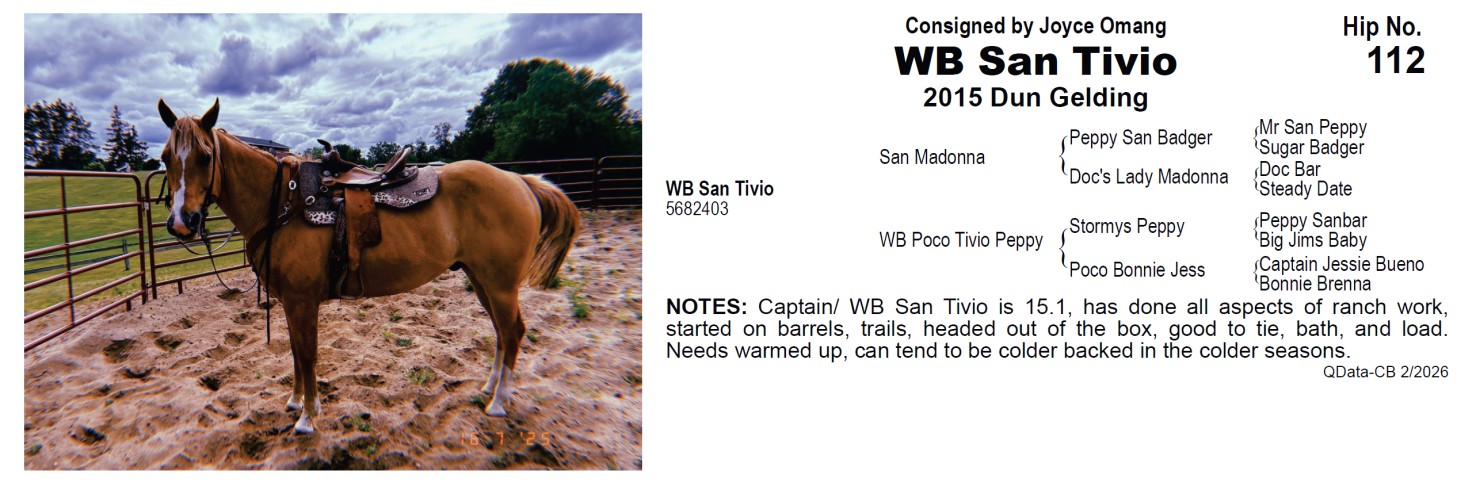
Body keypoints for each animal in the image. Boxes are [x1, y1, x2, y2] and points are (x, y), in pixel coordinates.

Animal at [156, 98, 580, 434]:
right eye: (164, 158)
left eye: (205, 156)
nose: (182, 222)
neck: (282, 204)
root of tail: (520, 181)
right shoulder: (292, 302)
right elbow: (294, 351)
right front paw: (295, 402)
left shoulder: (302, 302)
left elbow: (306, 354)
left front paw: (308, 417)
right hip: (482, 280)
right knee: (501, 333)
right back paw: (489, 389)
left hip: (501, 283)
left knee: (513, 332)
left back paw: (499, 402)